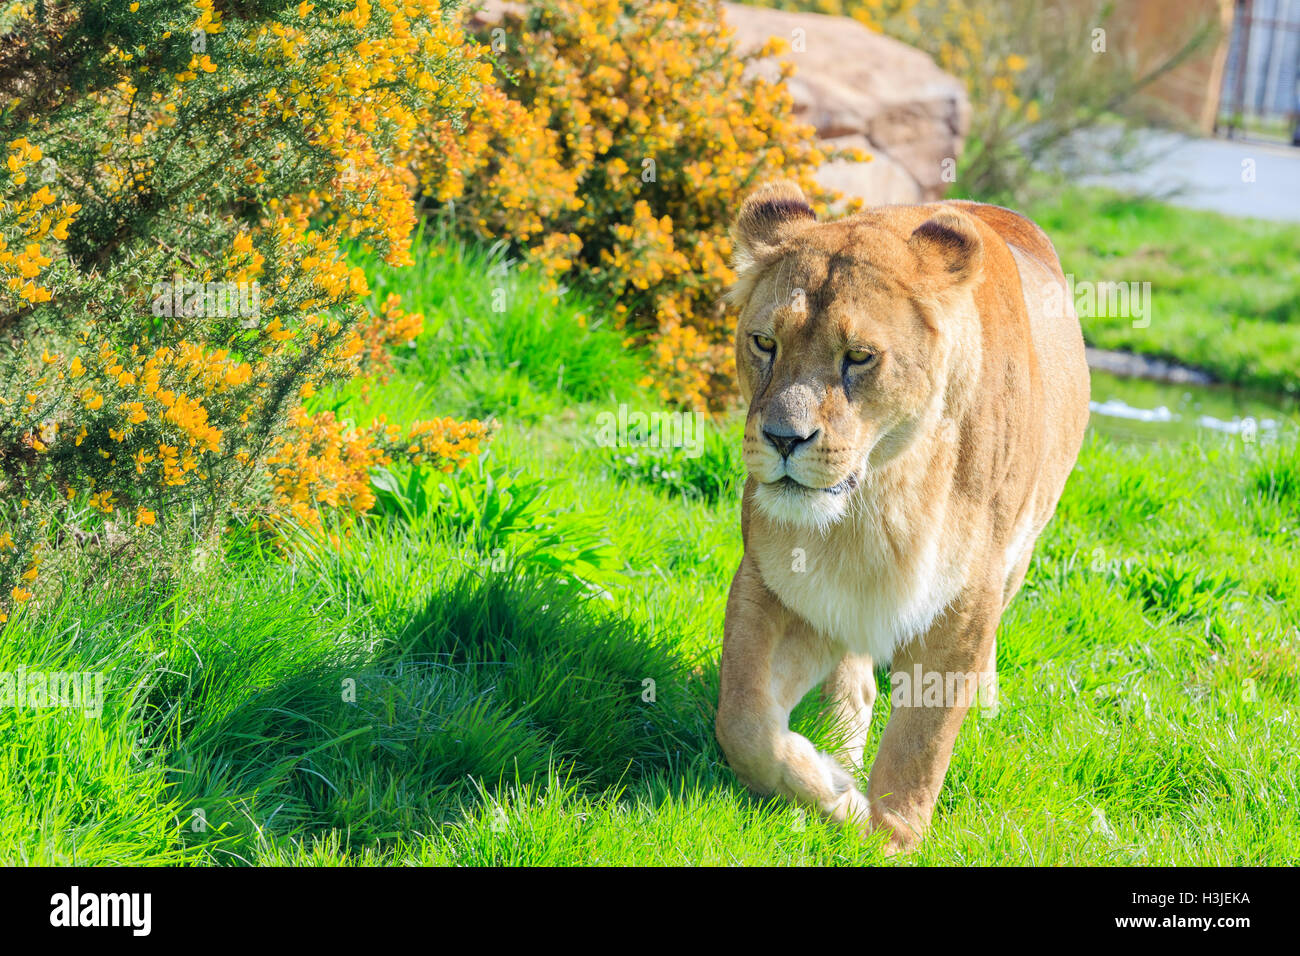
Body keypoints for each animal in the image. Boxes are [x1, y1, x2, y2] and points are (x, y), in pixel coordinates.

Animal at [715, 181, 1090, 854]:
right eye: (764, 343)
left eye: (859, 357)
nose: (782, 439)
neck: (876, 500)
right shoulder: (773, 580)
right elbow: (743, 720)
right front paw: (836, 795)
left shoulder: (964, 602)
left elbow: (923, 738)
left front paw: (888, 837)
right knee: (852, 682)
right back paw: (840, 749)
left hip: (1021, 548)